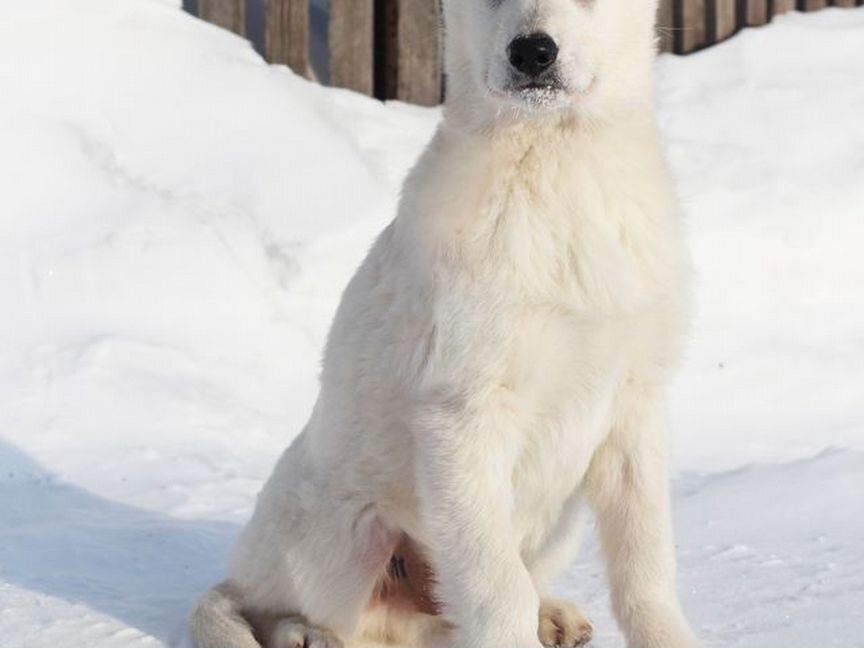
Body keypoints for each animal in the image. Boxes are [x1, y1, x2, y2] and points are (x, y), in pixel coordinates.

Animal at [192, 1, 700, 648]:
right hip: (343, 538)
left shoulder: (635, 402)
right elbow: (499, 592)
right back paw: (301, 635)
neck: (556, 163)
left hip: (557, 523)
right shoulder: (462, 414)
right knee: (267, 608)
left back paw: (549, 613)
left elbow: (646, 567)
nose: (531, 52)